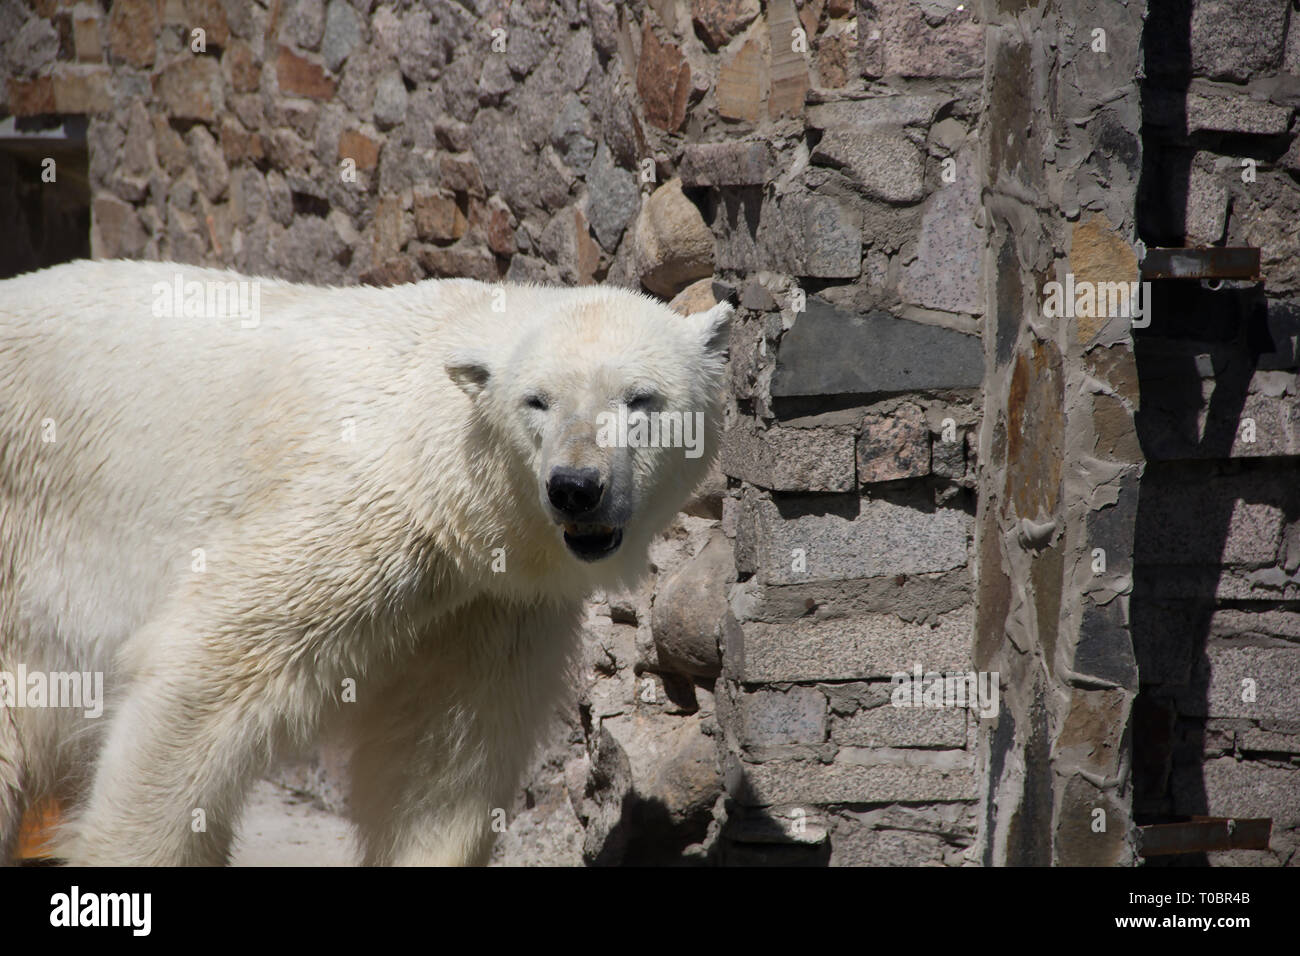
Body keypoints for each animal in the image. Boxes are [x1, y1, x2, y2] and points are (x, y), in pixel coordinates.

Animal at [0, 258, 731, 865]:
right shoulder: (357, 511)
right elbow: (203, 674)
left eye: (641, 398)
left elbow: (441, 756)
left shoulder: (487, 601)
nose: (576, 486)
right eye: (537, 400)